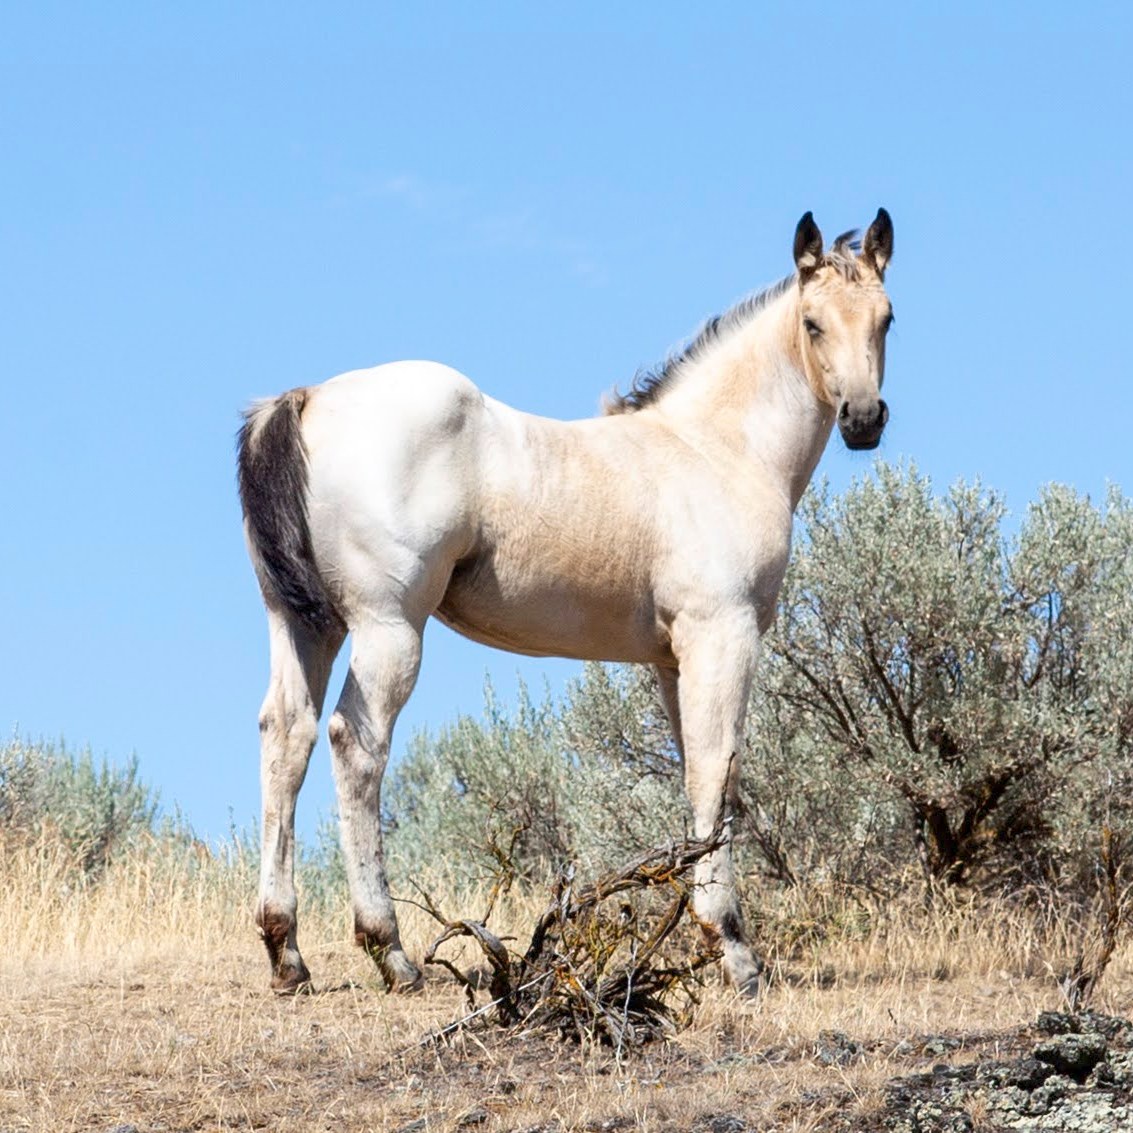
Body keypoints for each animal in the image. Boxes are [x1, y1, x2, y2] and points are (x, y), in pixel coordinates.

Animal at [237, 209, 895, 995]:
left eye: (887, 318)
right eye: (812, 322)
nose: (864, 418)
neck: (714, 449)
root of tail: (307, 399)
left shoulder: (671, 661)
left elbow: (694, 776)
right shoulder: (723, 634)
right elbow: (718, 773)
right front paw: (734, 950)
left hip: (305, 624)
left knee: (287, 736)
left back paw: (286, 953)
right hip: (387, 627)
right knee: (354, 745)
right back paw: (390, 950)